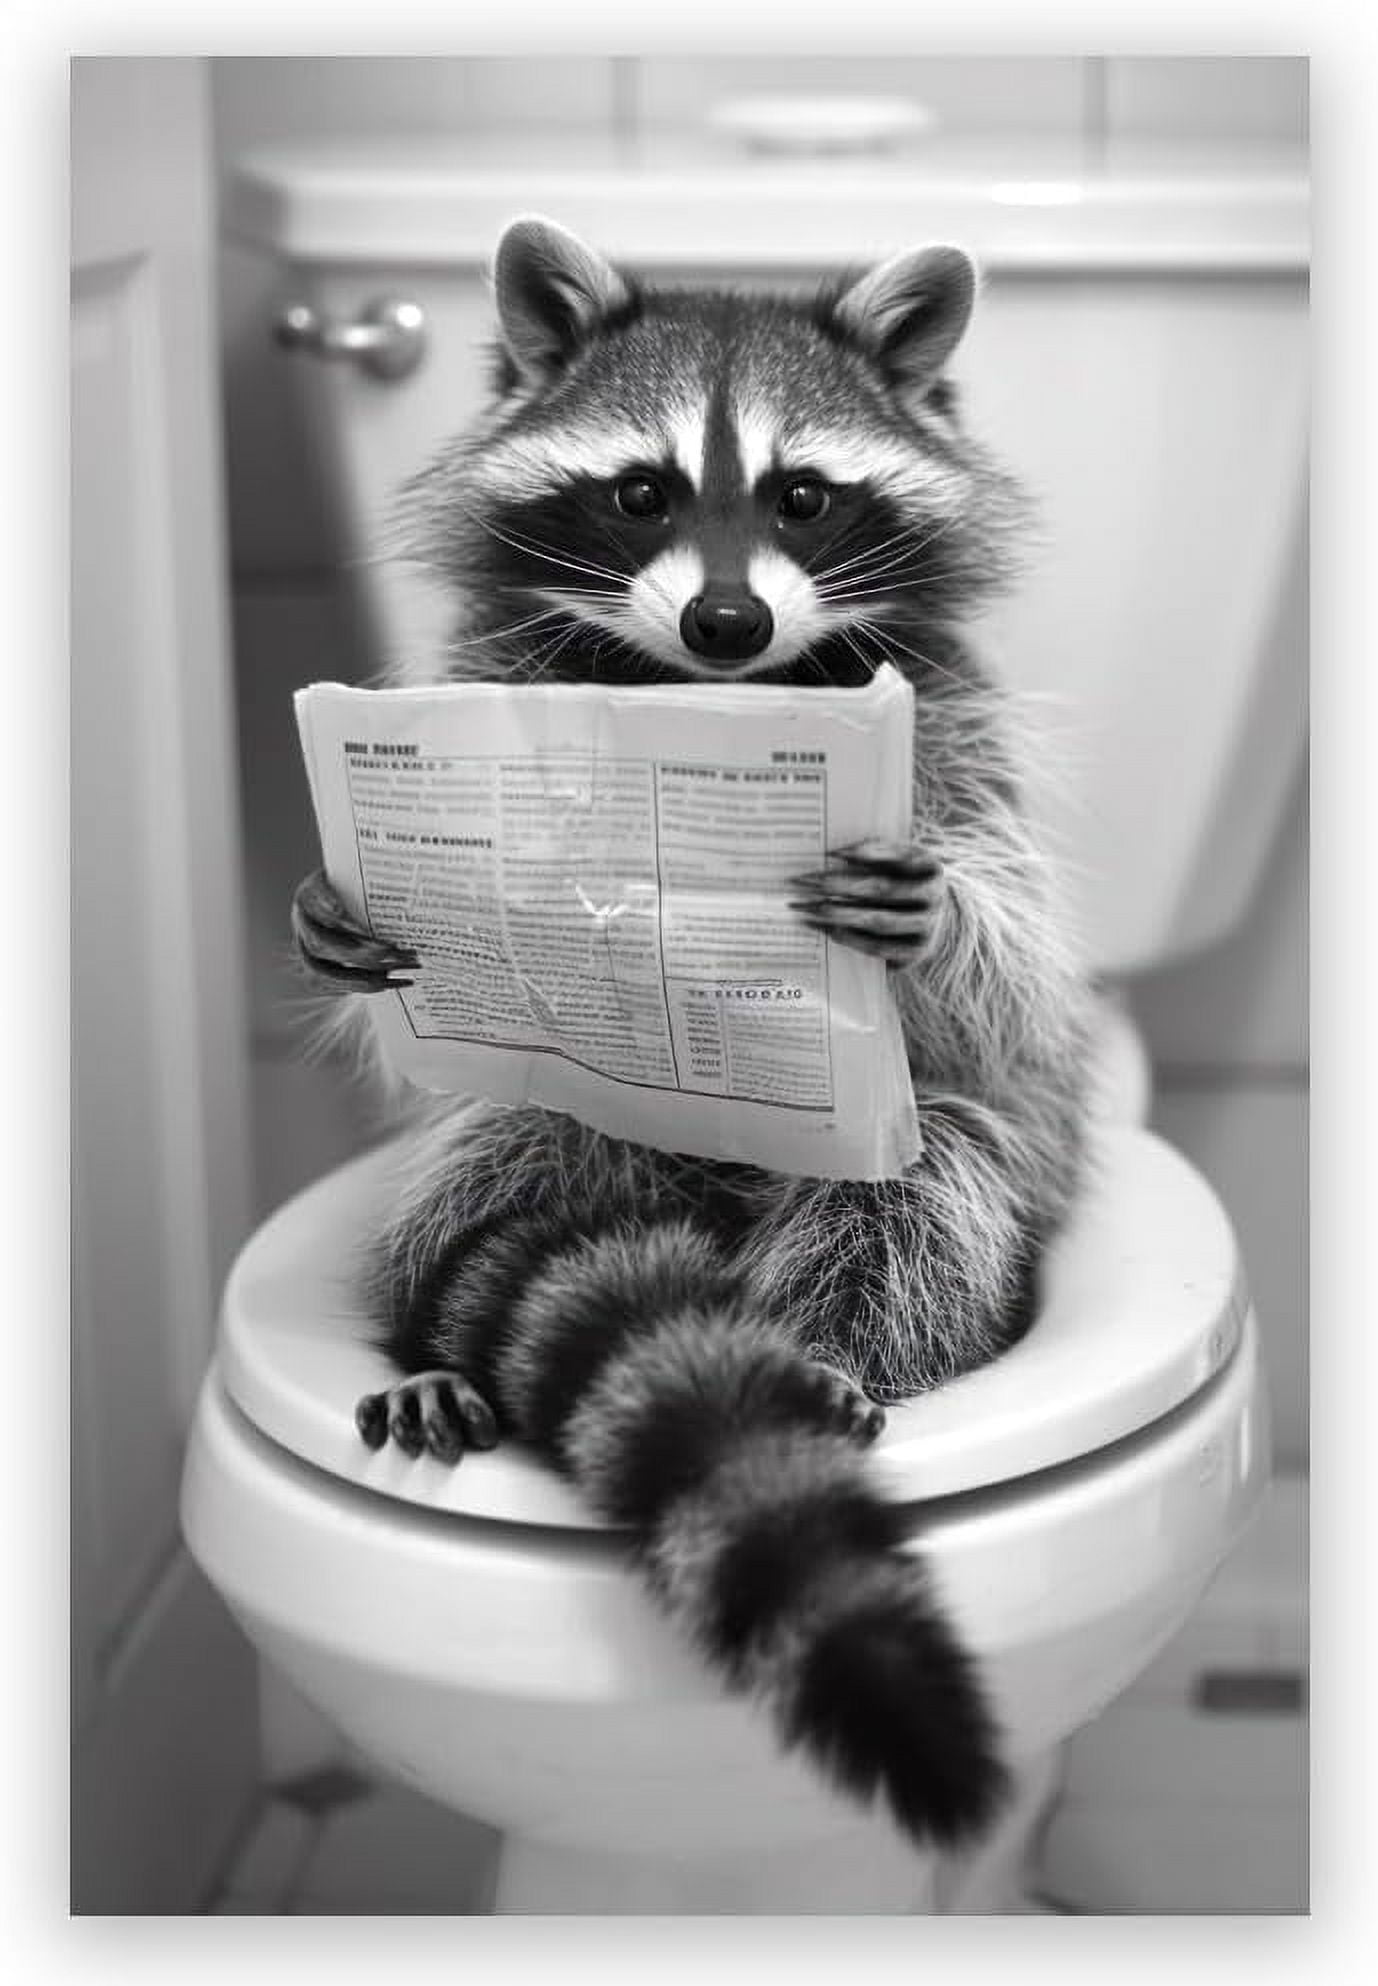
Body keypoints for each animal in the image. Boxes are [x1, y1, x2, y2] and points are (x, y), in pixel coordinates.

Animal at [291, 217, 1096, 1851]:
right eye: (641, 491)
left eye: (800, 495)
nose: (728, 619)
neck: (704, 699)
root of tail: (711, 1254)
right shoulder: (488, 687)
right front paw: (337, 917)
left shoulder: (955, 723)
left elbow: (1018, 977)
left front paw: (937, 917)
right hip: (585, 1153)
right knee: (506, 1134)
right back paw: (433, 1336)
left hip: (952, 1171)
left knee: (922, 1180)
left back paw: (833, 1349)